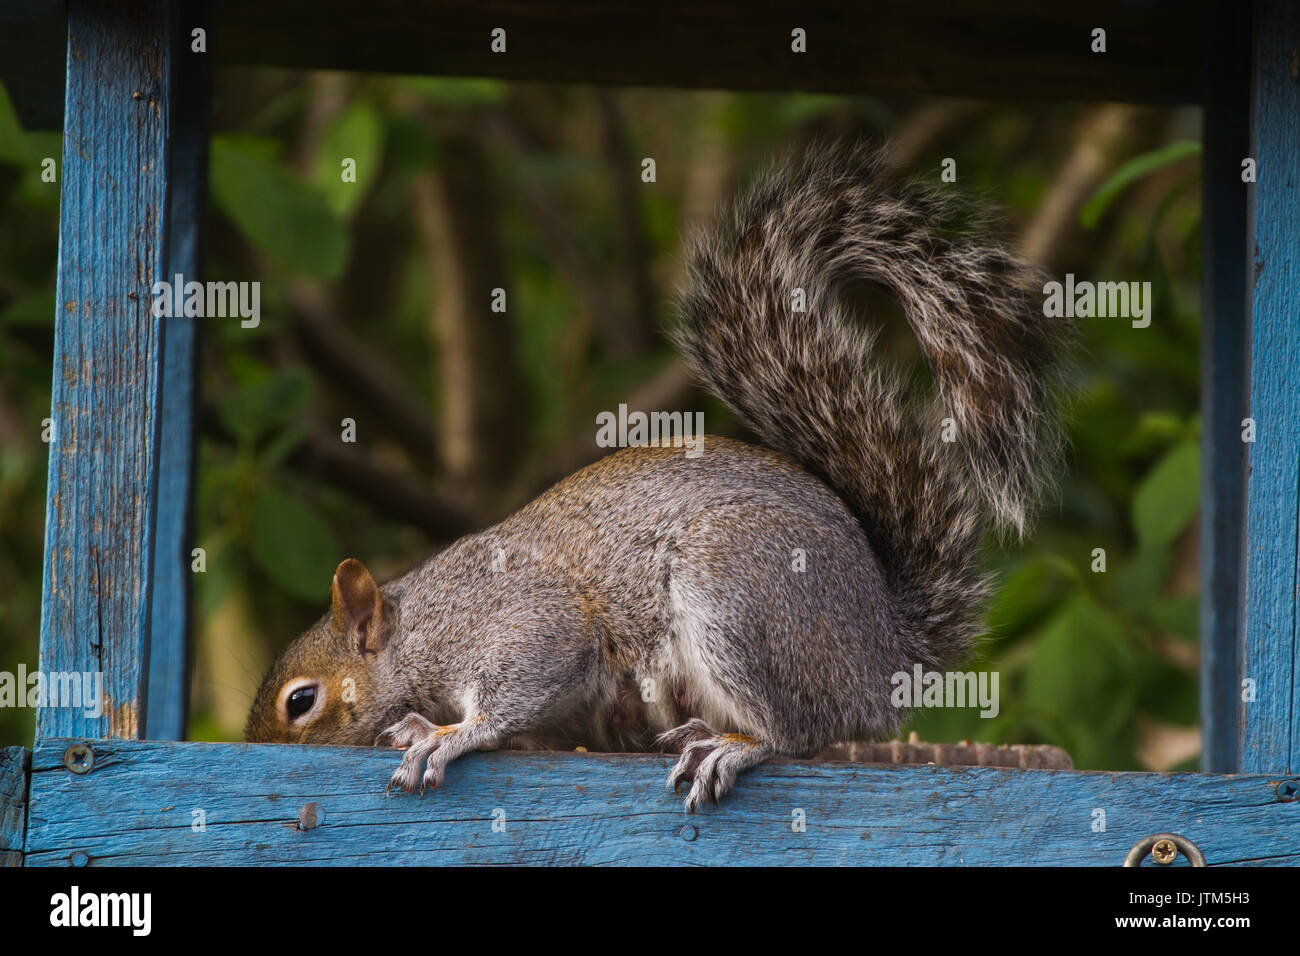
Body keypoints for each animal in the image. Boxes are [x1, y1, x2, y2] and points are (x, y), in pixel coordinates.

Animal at [245, 141, 1070, 812]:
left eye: (301, 702)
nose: (254, 754)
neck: (416, 629)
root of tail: (884, 654)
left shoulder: (517, 623)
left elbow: (521, 679)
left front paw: (447, 734)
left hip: (737, 587)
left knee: (801, 732)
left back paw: (733, 747)